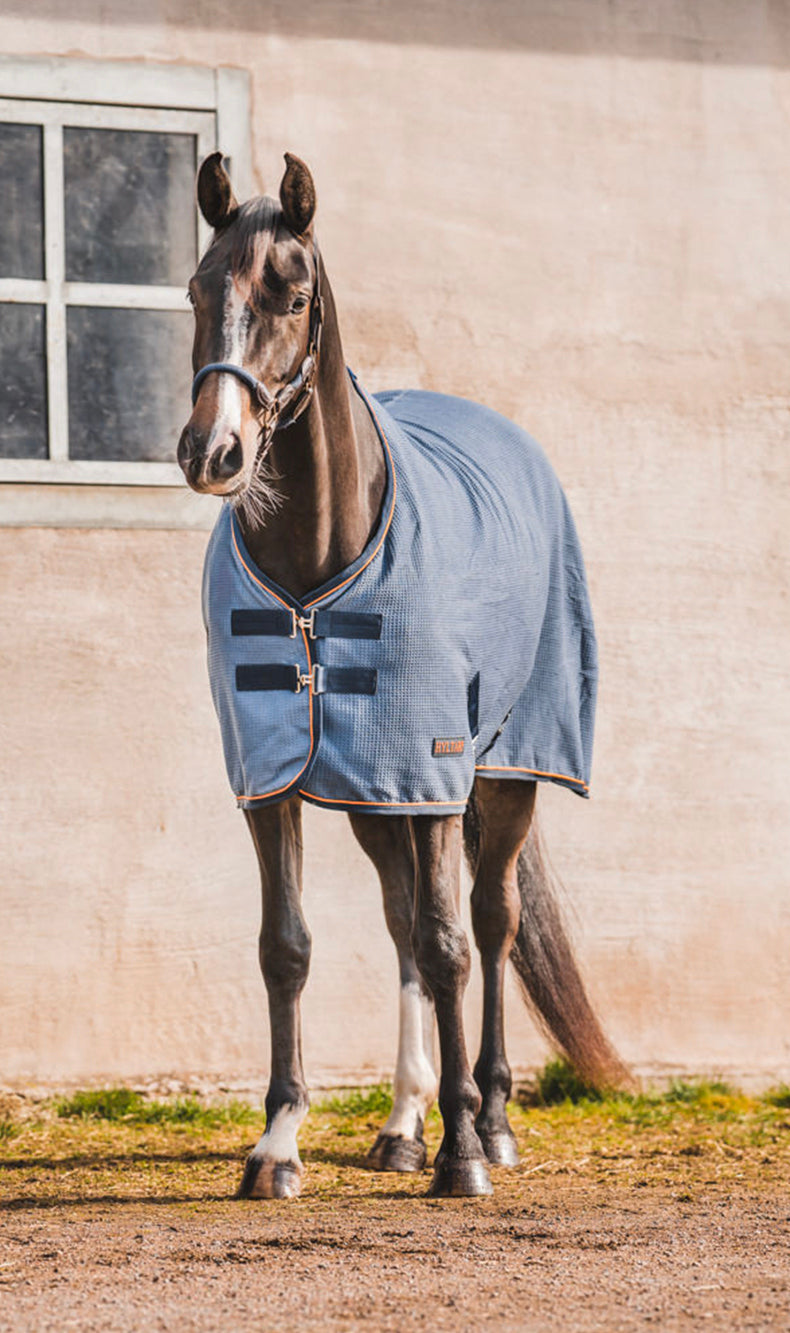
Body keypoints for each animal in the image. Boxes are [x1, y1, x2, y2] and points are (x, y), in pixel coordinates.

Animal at [178, 150, 625, 1199]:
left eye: (293, 293)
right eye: (197, 291)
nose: (213, 452)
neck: (315, 567)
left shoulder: (434, 769)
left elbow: (449, 941)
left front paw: (462, 1154)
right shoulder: (277, 779)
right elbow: (289, 947)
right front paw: (278, 1145)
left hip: (499, 774)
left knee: (489, 923)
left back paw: (488, 1118)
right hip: (380, 794)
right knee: (401, 927)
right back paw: (403, 1122)